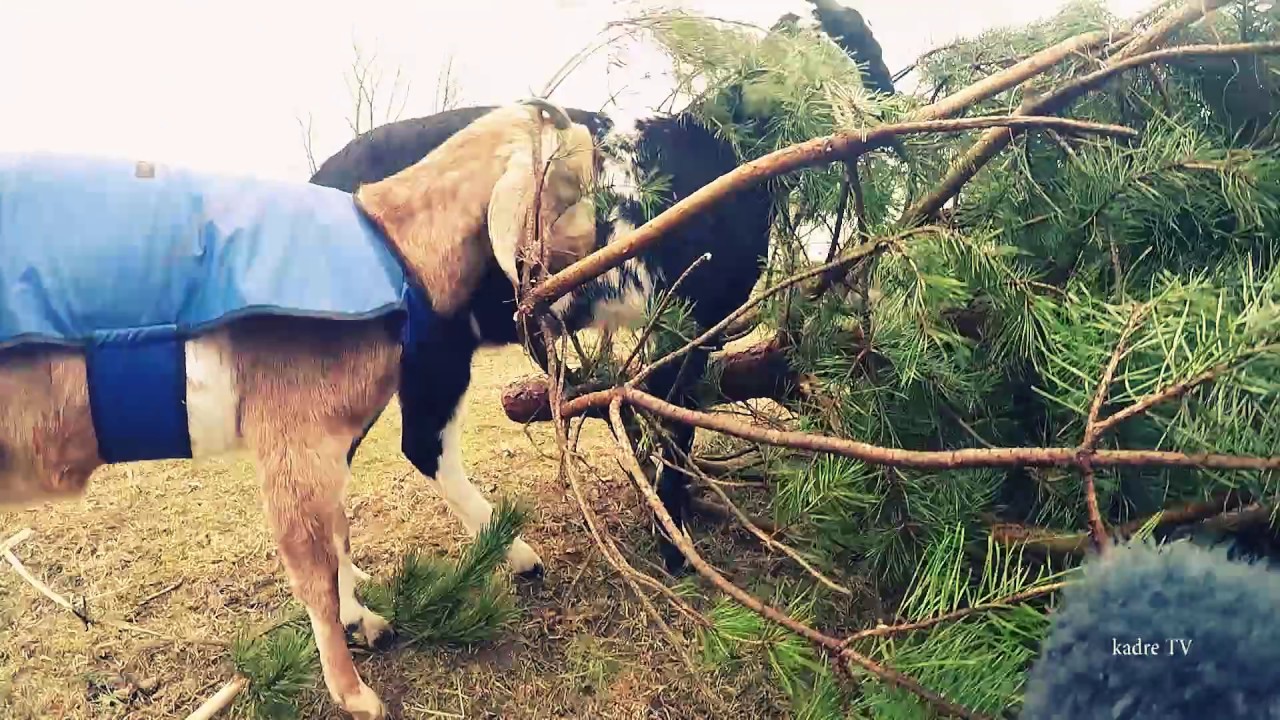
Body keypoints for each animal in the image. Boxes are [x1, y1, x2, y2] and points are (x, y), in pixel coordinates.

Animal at [0, 99, 596, 720]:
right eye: (573, 180)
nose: (588, 282)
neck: (395, 247)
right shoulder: (295, 443)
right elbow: (313, 571)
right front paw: (356, 694)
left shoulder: (329, 449)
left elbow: (338, 536)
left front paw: (365, 620)